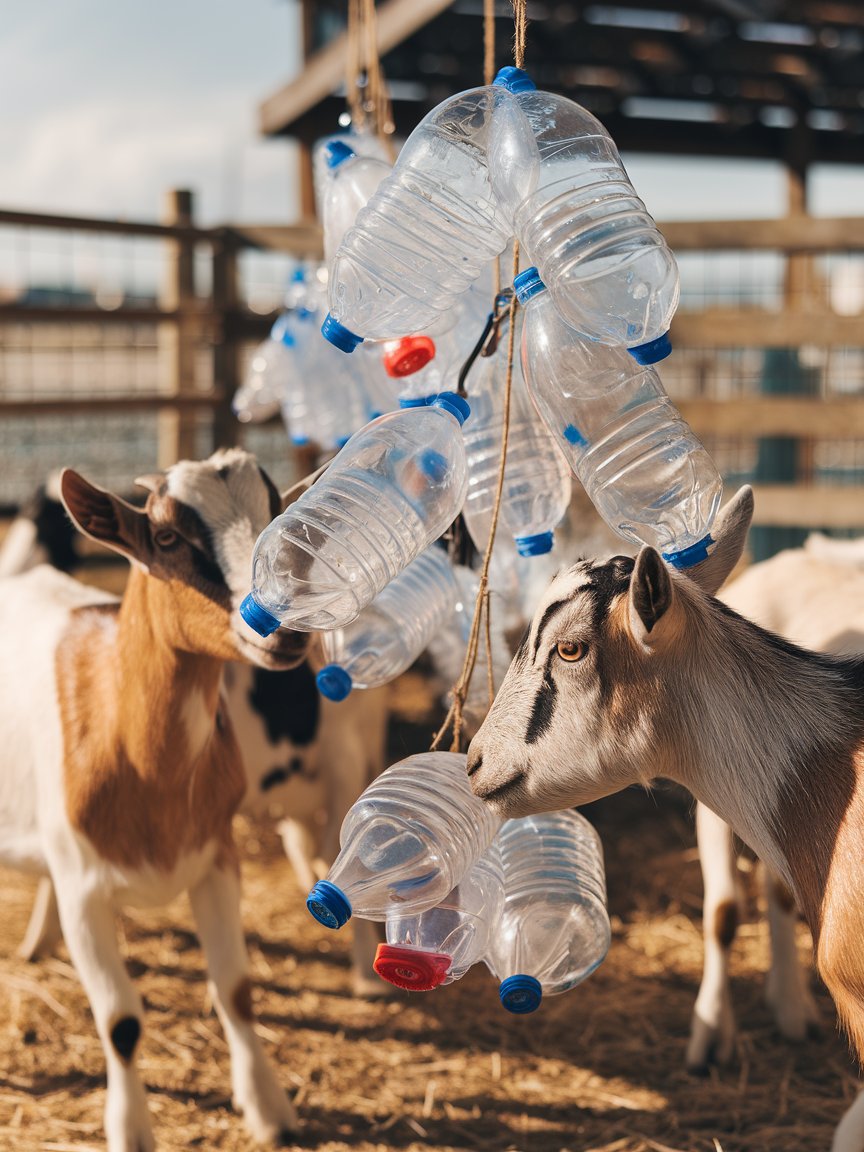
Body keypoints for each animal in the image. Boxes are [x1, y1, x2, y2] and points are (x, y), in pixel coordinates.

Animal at [0, 448, 310, 1151]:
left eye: (278, 511)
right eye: (167, 538)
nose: (285, 624)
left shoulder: (217, 856)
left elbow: (236, 989)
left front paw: (269, 1109)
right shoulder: (85, 888)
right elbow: (120, 1020)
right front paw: (131, 1129)